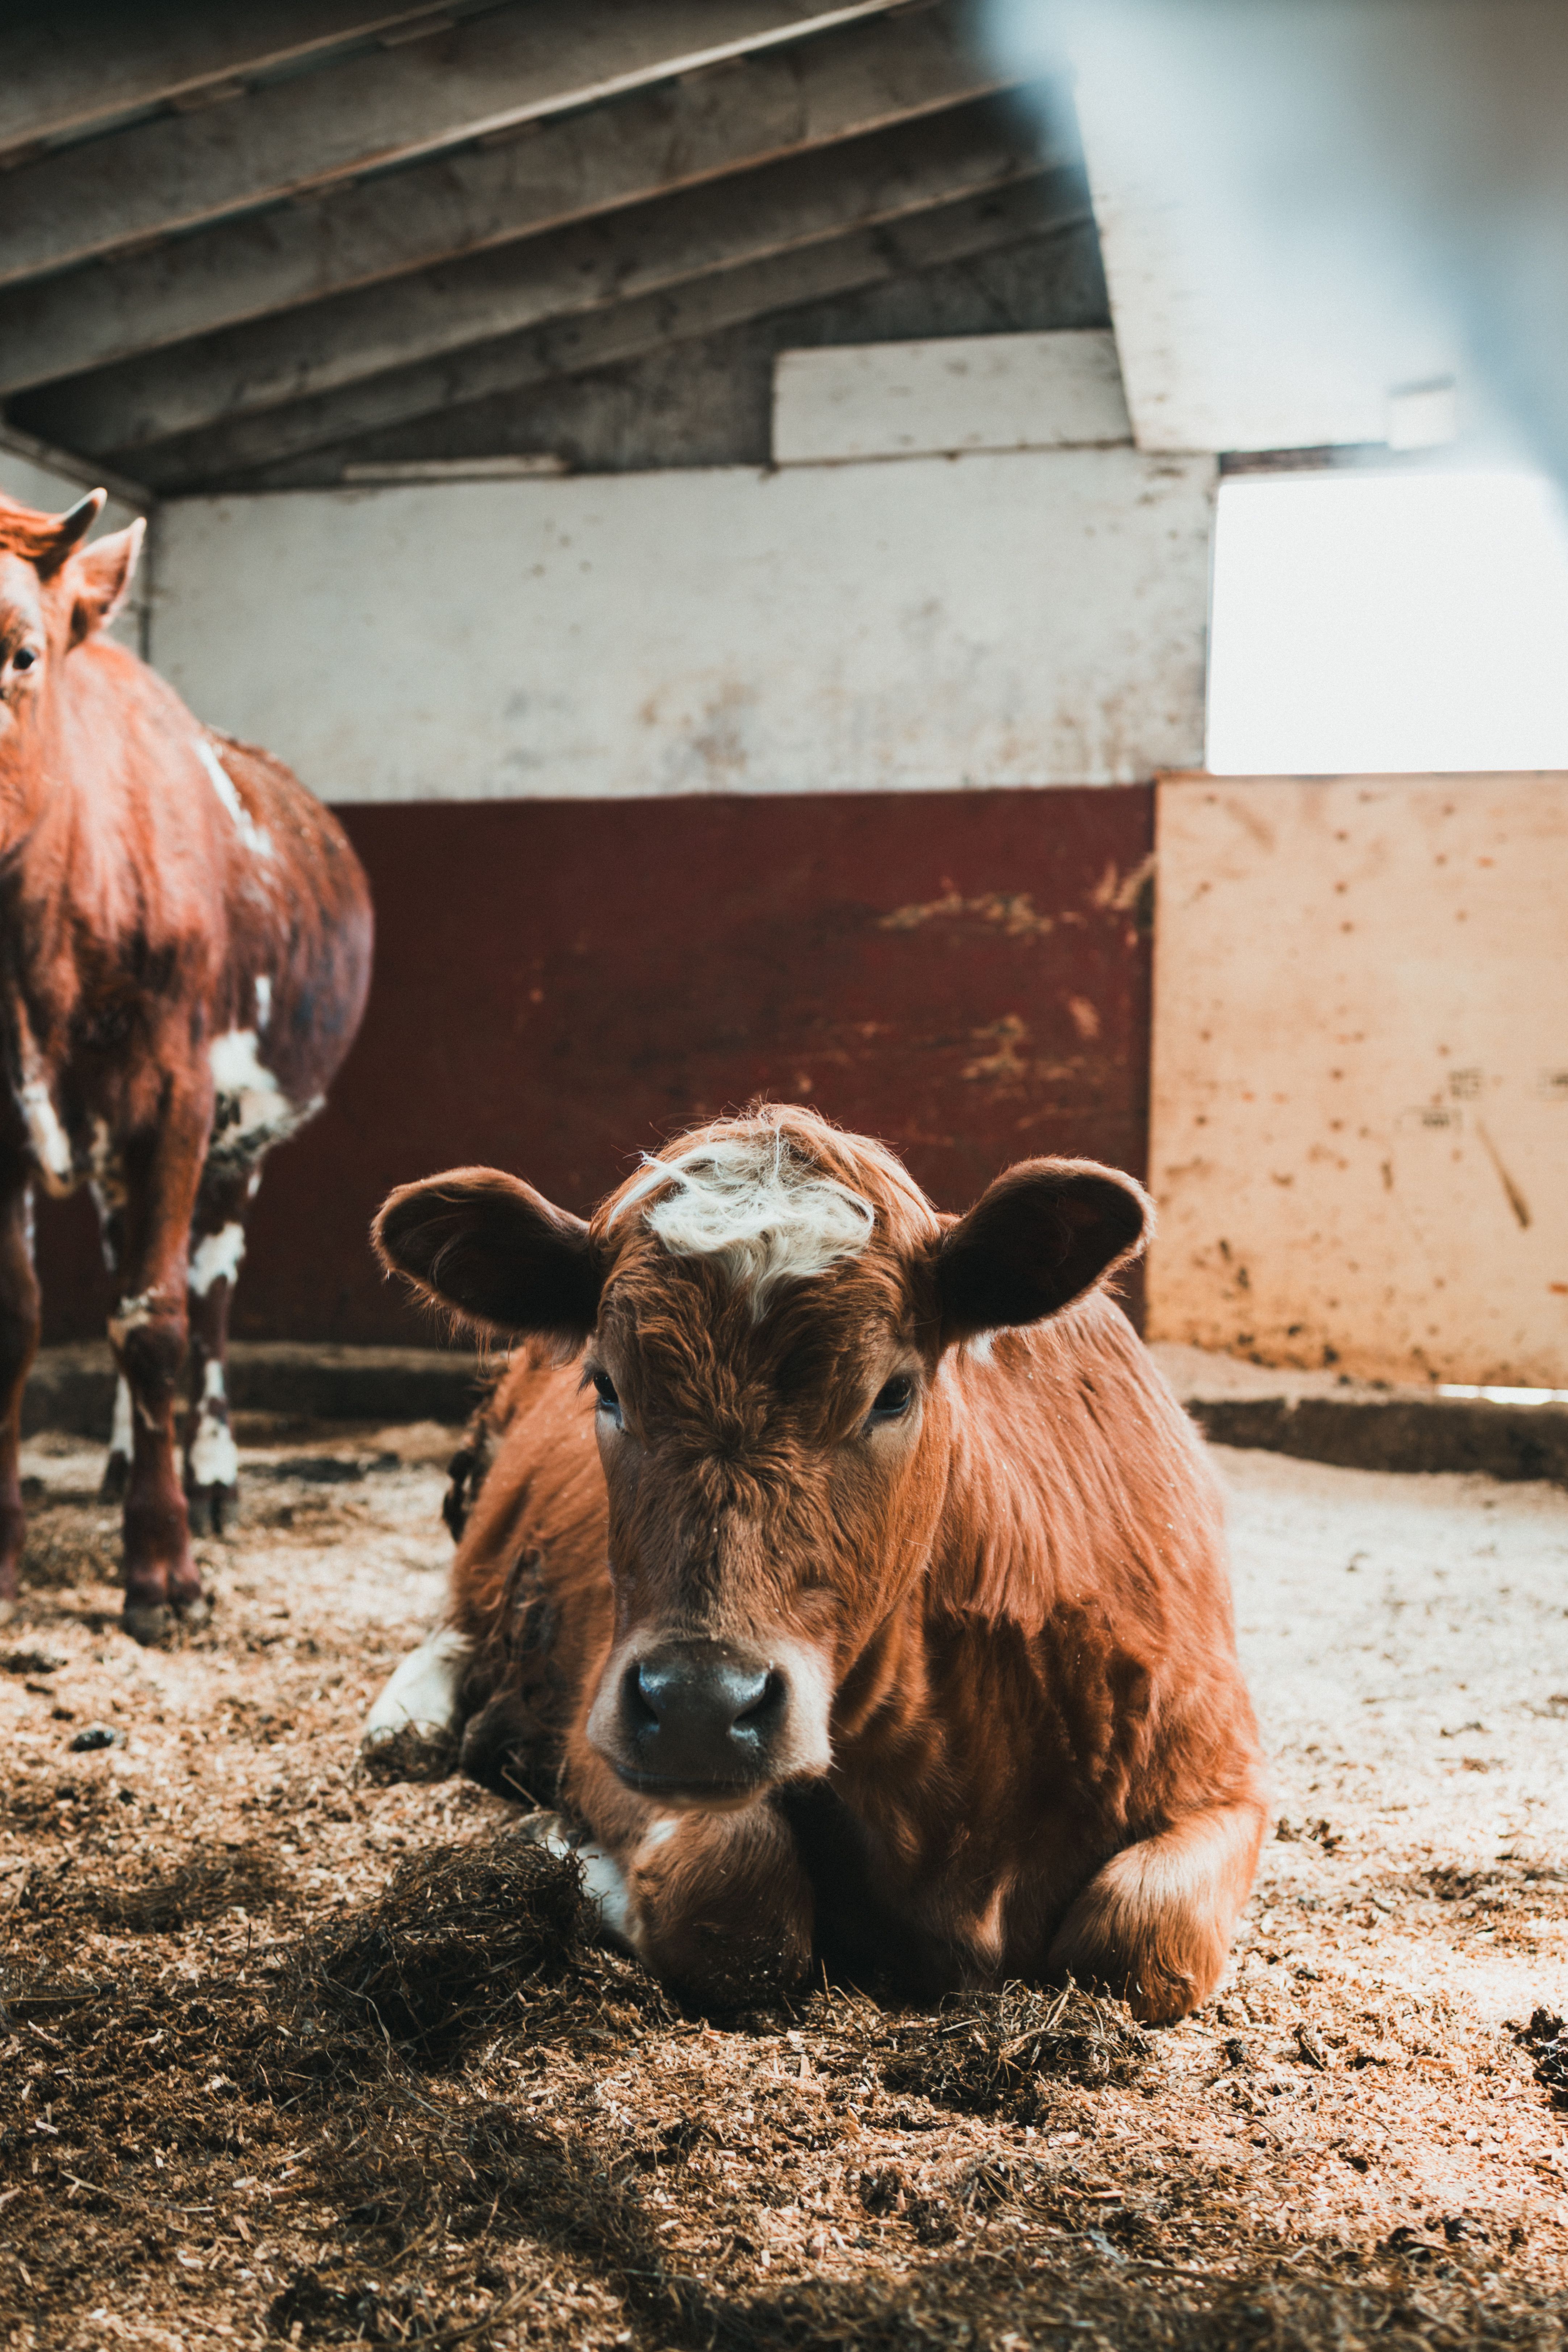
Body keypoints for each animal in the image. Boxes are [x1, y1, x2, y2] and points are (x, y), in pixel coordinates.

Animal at [0, 485, 372, 1642]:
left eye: (21, 652)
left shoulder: (176, 1096)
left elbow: (158, 1324)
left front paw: (162, 1567)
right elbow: (22, 1314)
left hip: (240, 1142)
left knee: (203, 1297)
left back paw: (206, 1476)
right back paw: (127, 1456)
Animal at [363, 1106, 1266, 2022]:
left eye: (894, 1393)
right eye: (607, 1386)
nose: (696, 1706)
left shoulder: (1225, 1776)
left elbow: (1136, 1939)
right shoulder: (606, 1739)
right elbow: (736, 1901)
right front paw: (553, 1836)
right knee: (456, 1616)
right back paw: (410, 1725)